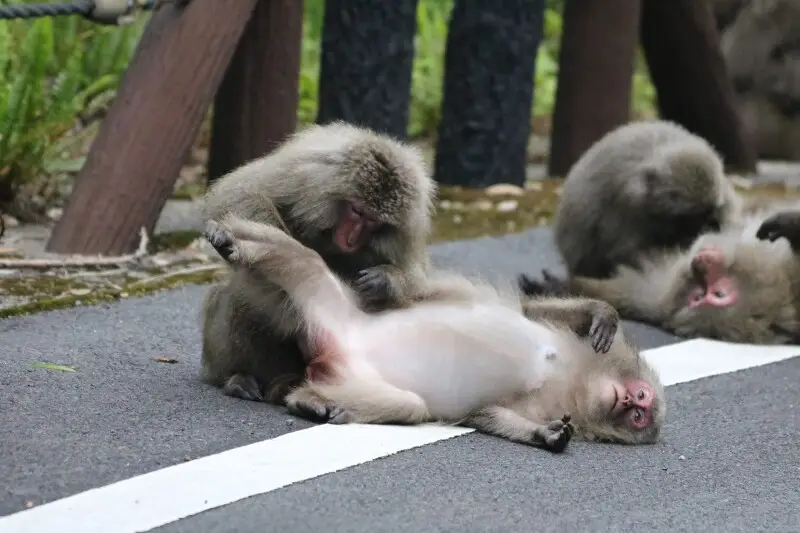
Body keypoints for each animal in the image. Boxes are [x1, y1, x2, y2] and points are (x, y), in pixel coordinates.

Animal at [200, 121, 437, 411]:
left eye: (372, 221)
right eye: (356, 211)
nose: (351, 238)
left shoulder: (408, 226)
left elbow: (418, 279)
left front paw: (385, 281)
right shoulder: (309, 175)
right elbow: (242, 189)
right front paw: (268, 244)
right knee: (238, 292)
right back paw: (240, 377)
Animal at [203, 217, 666, 453]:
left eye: (639, 416)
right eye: (640, 399)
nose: (629, 402)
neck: (575, 381)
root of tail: (338, 343)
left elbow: (487, 412)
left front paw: (546, 436)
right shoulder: (570, 344)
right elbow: (528, 310)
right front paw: (601, 313)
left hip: (351, 371)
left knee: (411, 406)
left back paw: (310, 402)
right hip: (329, 306)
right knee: (305, 263)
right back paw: (232, 241)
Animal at [521, 199, 800, 345]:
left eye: (718, 294)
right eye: (698, 296)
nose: (699, 266)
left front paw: (791, 225)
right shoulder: (660, 295)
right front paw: (558, 287)